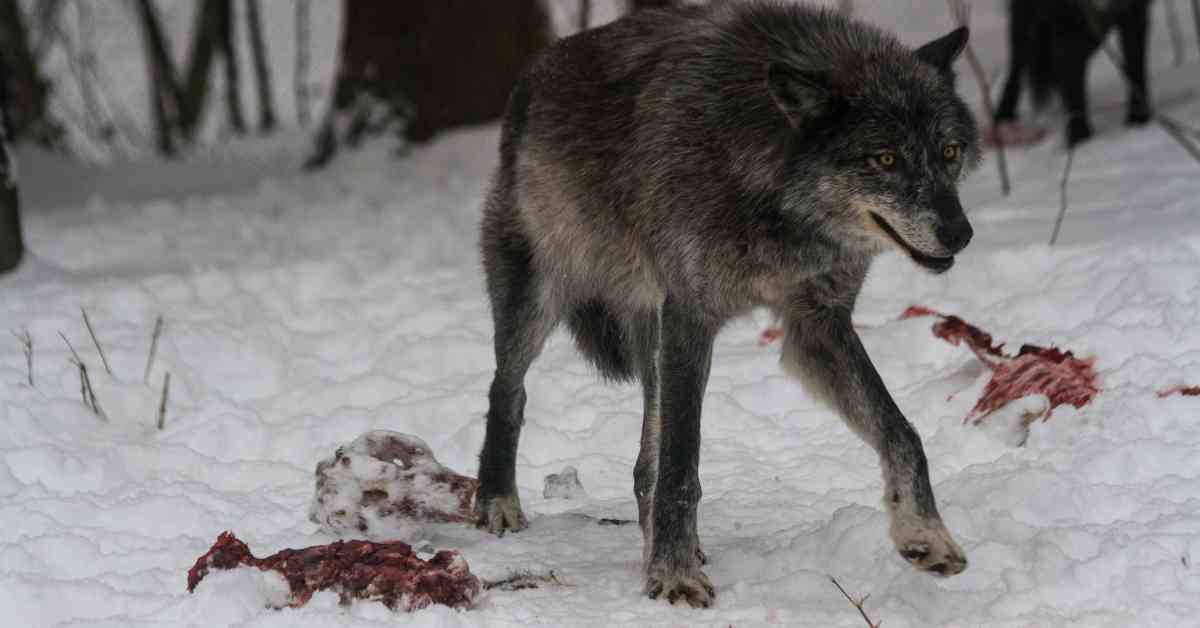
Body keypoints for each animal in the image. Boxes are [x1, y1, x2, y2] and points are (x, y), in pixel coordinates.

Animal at [476, 1, 979, 608]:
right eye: (884, 159)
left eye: (949, 152)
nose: (960, 234)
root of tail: (532, 74)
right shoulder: (691, 318)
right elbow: (680, 467)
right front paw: (673, 577)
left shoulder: (817, 326)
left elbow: (902, 431)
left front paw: (925, 534)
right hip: (540, 297)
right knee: (508, 391)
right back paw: (497, 501)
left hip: (652, 338)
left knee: (643, 462)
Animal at [994, 0, 1152, 146]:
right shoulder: (1066, 29)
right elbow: (1074, 92)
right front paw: (1080, 141)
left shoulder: (1134, 13)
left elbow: (1135, 70)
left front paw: (1138, 121)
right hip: (1028, 24)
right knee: (1016, 68)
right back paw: (1003, 121)